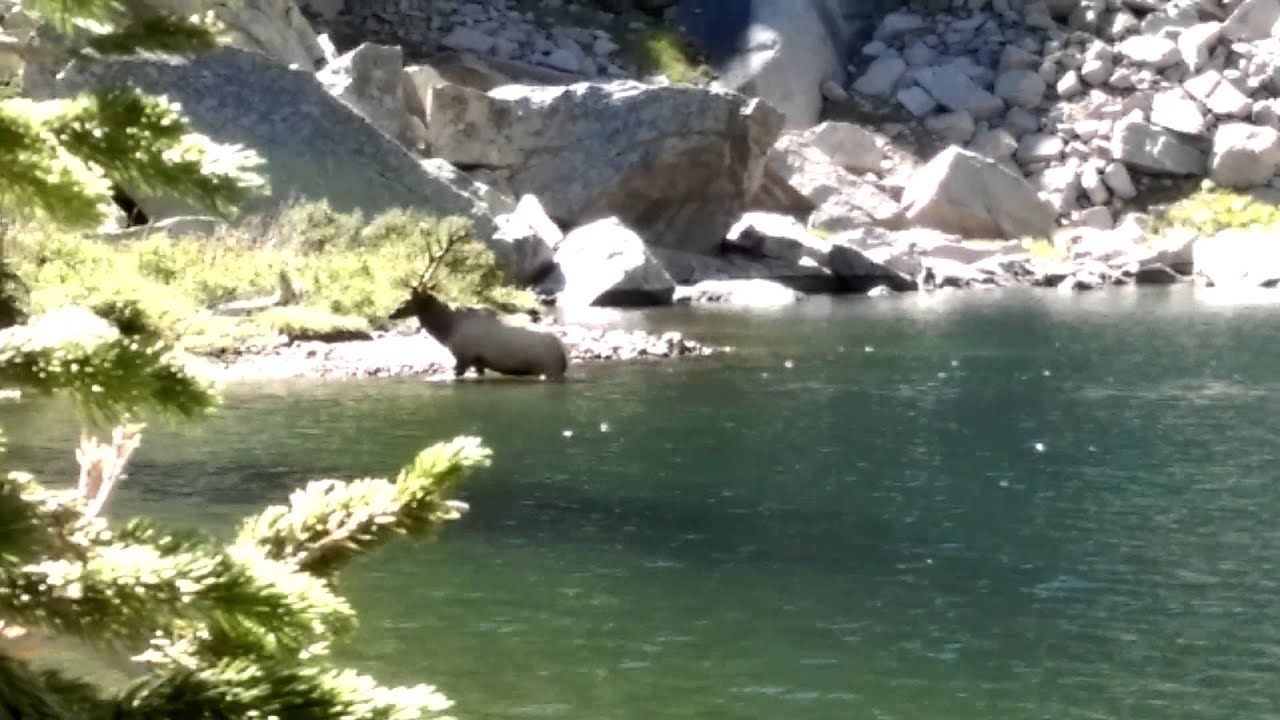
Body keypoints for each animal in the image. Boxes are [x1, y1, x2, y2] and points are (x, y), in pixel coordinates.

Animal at [388, 235, 570, 381]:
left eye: (408, 299)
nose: (391, 313)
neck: (448, 329)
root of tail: (564, 354)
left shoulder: (463, 356)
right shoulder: (478, 362)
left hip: (550, 369)